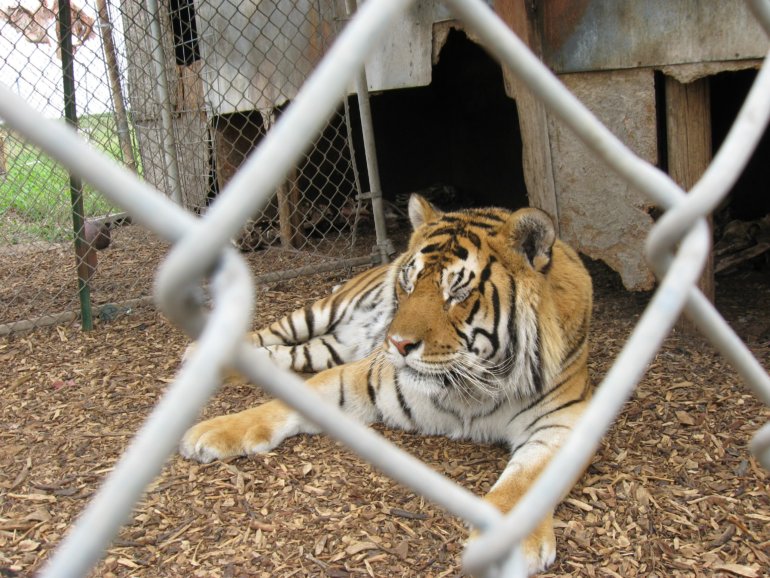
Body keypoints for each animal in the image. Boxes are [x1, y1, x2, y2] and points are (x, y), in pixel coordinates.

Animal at [180, 194, 593, 575]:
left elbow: (526, 481)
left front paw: (510, 544)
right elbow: (285, 401)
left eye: (457, 293)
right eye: (408, 283)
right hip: (317, 313)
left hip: (326, 348)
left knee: (285, 354)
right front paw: (213, 431)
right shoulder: (358, 375)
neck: (471, 387)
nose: (395, 343)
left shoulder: (563, 419)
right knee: (271, 332)